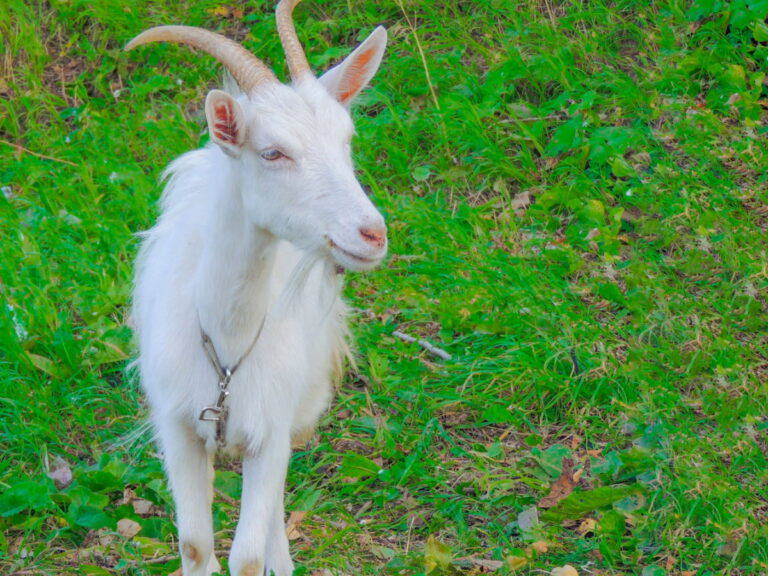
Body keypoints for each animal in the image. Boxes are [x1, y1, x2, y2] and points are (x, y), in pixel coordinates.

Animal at [126, 1, 387, 574]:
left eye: (347, 141)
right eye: (272, 153)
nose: (372, 233)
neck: (227, 346)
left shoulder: (270, 429)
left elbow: (244, 555)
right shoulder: (177, 425)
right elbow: (194, 543)